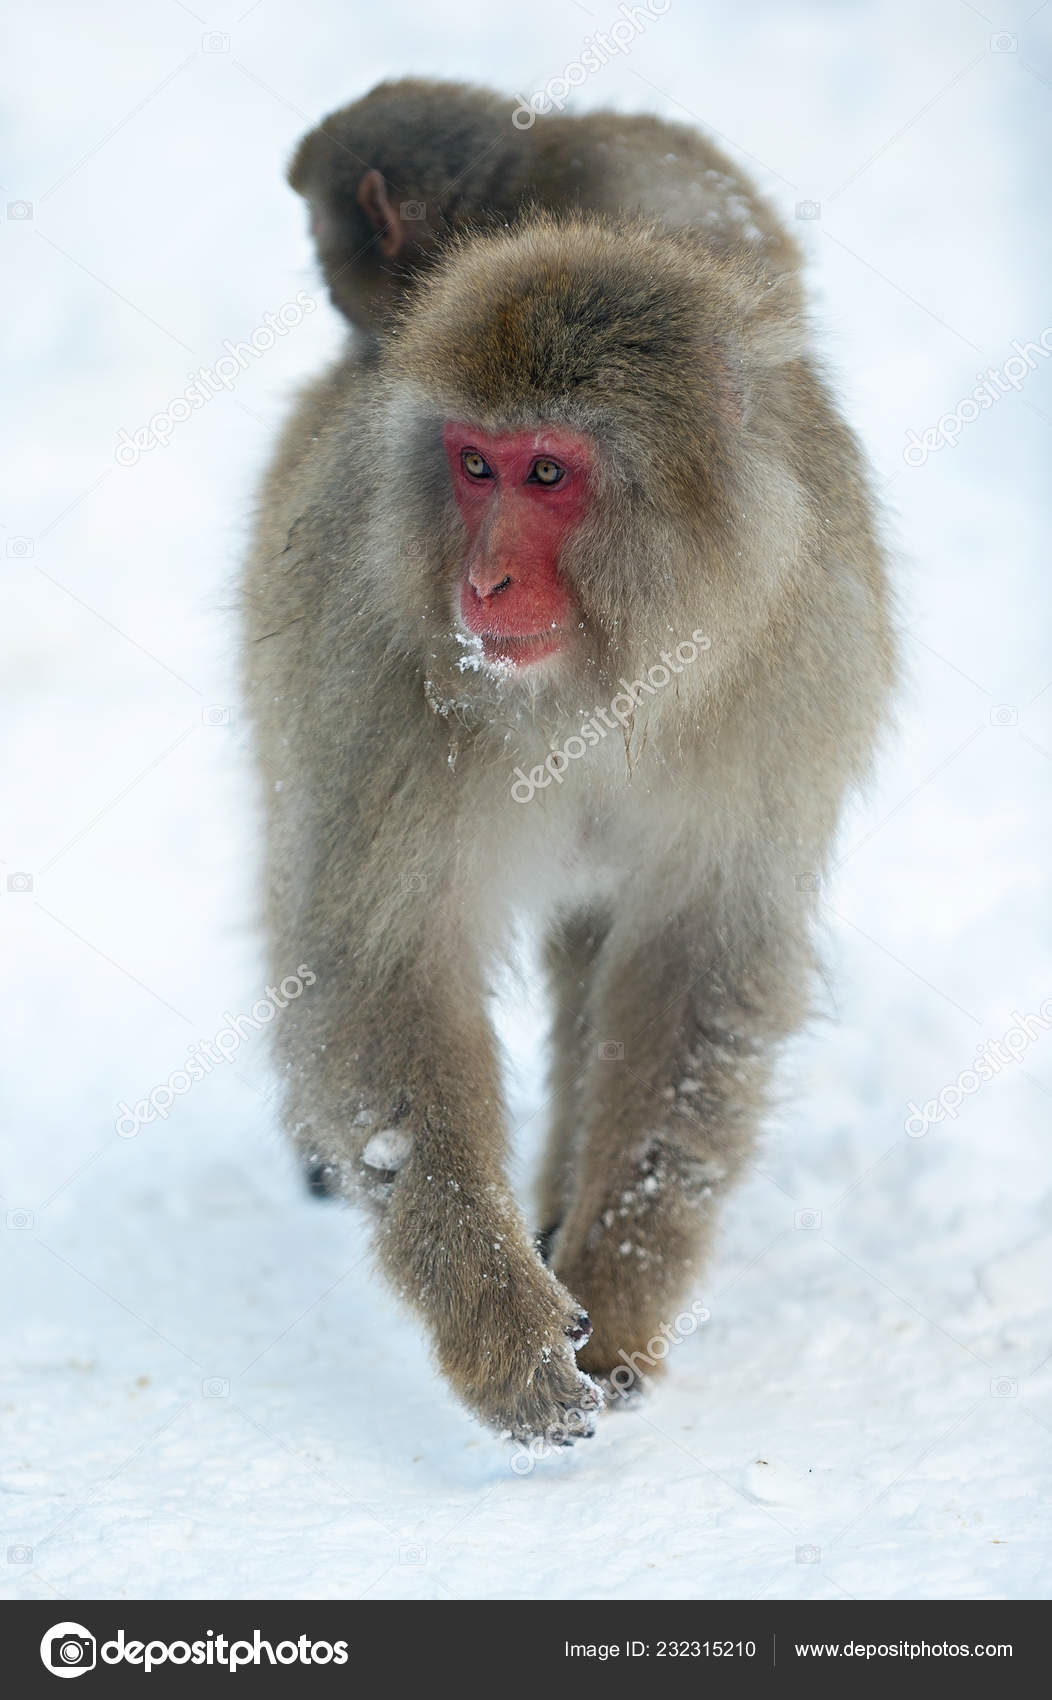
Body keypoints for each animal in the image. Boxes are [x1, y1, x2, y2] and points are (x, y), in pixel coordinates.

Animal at [241, 201, 895, 1447]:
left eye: (546, 472)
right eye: (472, 465)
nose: (484, 583)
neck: (596, 682)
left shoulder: (788, 671)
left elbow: (693, 964)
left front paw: (617, 1288)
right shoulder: (373, 670)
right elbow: (382, 967)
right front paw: (502, 1326)